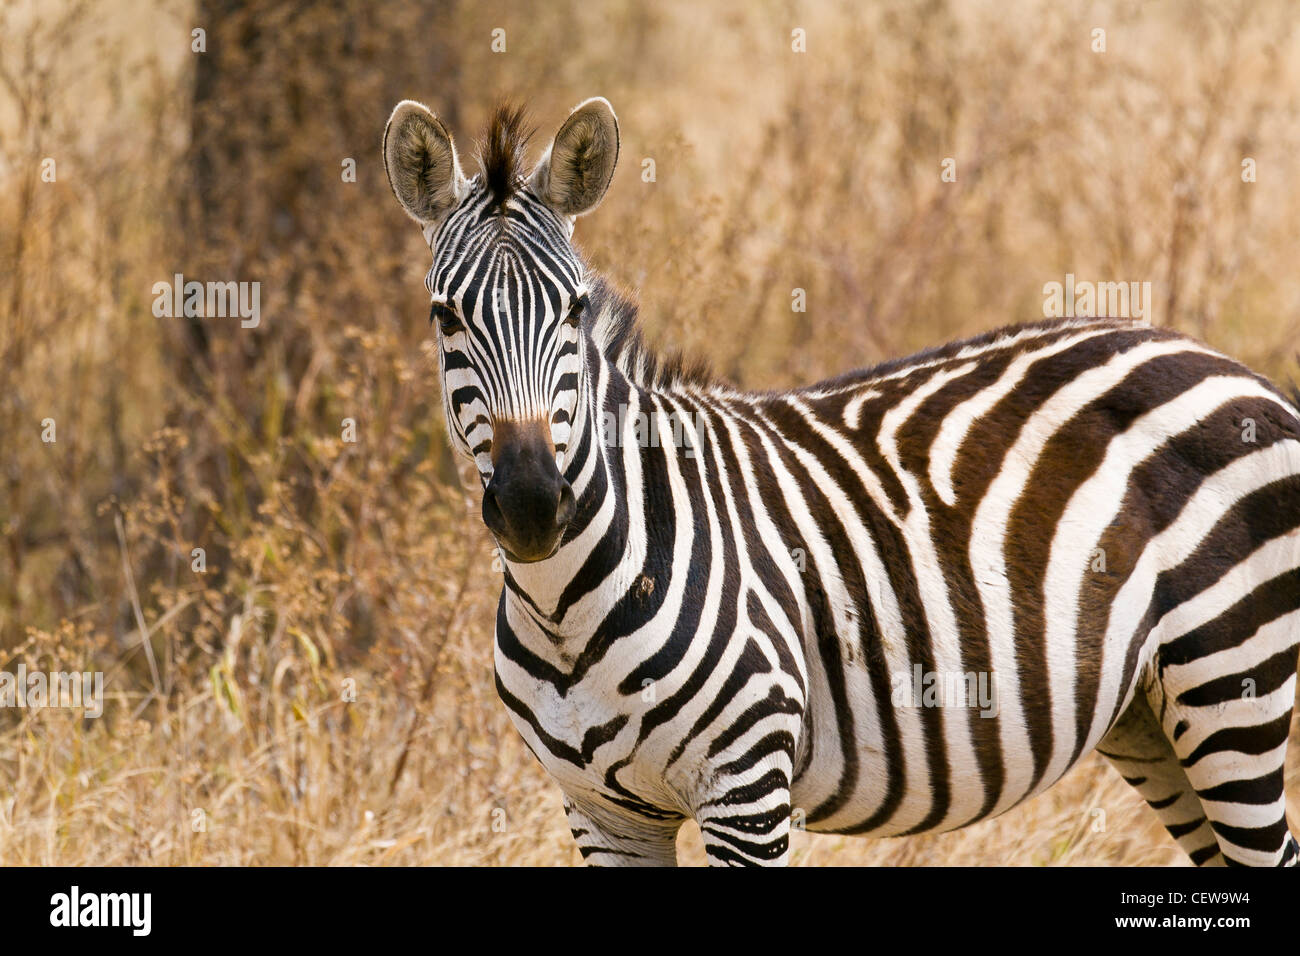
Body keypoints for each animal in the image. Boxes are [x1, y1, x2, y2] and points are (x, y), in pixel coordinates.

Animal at [382, 96, 1300, 867]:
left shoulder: (746, 793)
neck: (565, 608)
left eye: (573, 311)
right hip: (1152, 719)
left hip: (1232, 687)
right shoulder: (600, 814)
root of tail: (1218, 359)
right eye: (443, 317)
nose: (533, 506)